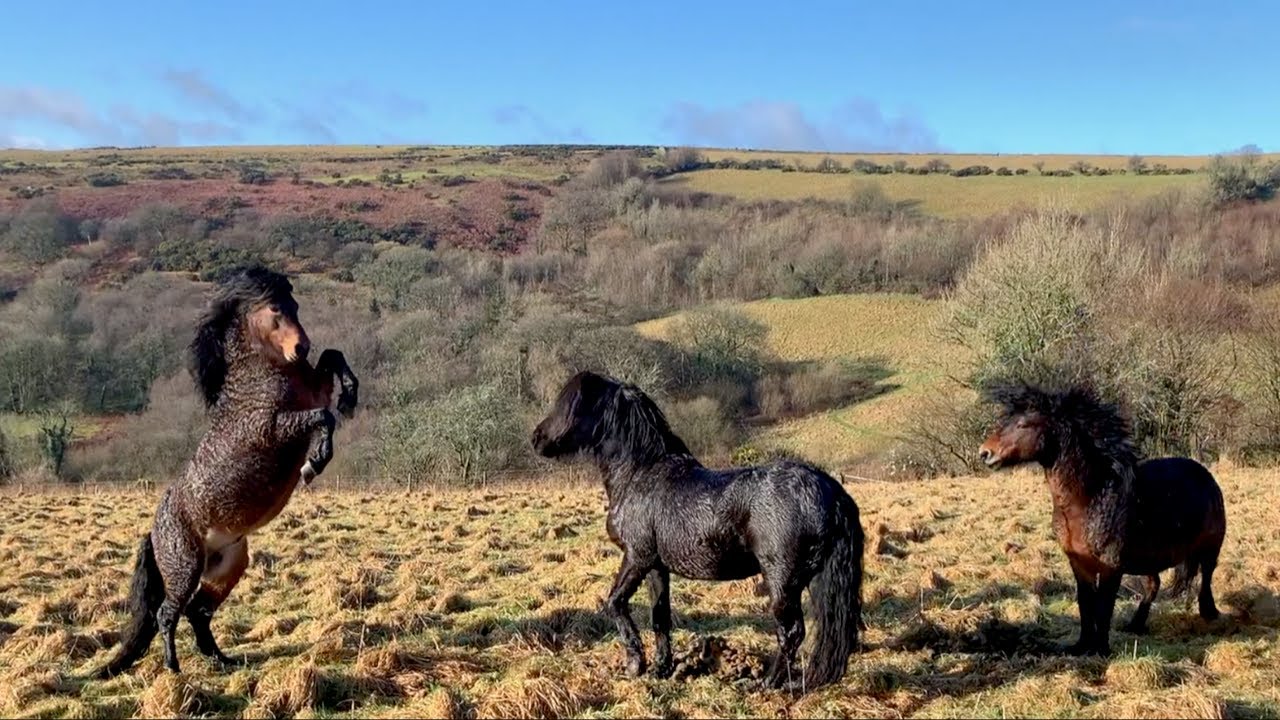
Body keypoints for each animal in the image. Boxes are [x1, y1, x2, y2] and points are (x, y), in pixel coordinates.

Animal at [98, 267, 358, 676]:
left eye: (295, 305)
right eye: (274, 310)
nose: (300, 348)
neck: (262, 376)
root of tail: (154, 533)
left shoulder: (315, 389)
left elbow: (334, 361)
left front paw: (349, 396)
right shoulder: (273, 427)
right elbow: (322, 418)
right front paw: (313, 463)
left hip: (228, 567)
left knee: (198, 612)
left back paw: (221, 659)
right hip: (184, 569)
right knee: (167, 613)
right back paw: (174, 669)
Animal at [531, 371, 865, 691]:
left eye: (568, 404)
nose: (536, 438)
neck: (640, 473)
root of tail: (829, 488)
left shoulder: (637, 557)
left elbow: (615, 602)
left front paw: (635, 664)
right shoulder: (656, 566)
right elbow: (660, 617)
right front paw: (661, 669)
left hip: (782, 579)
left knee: (791, 632)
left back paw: (765, 684)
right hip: (814, 579)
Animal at [977, 381, 1225, 656]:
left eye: (1022, 424)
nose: (985, 453)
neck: (1090, 499)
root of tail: (1205, 475)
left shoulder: (1111, 565)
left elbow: (1105, 605)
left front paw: (1101, 649)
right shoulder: (1078, 563)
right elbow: (1085, 603)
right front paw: (1082, 645)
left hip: (1210, 546)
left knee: (1206, 575)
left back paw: (1209, 613)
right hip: (1150, 558)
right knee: (1154, 584)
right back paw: (1136, 624)